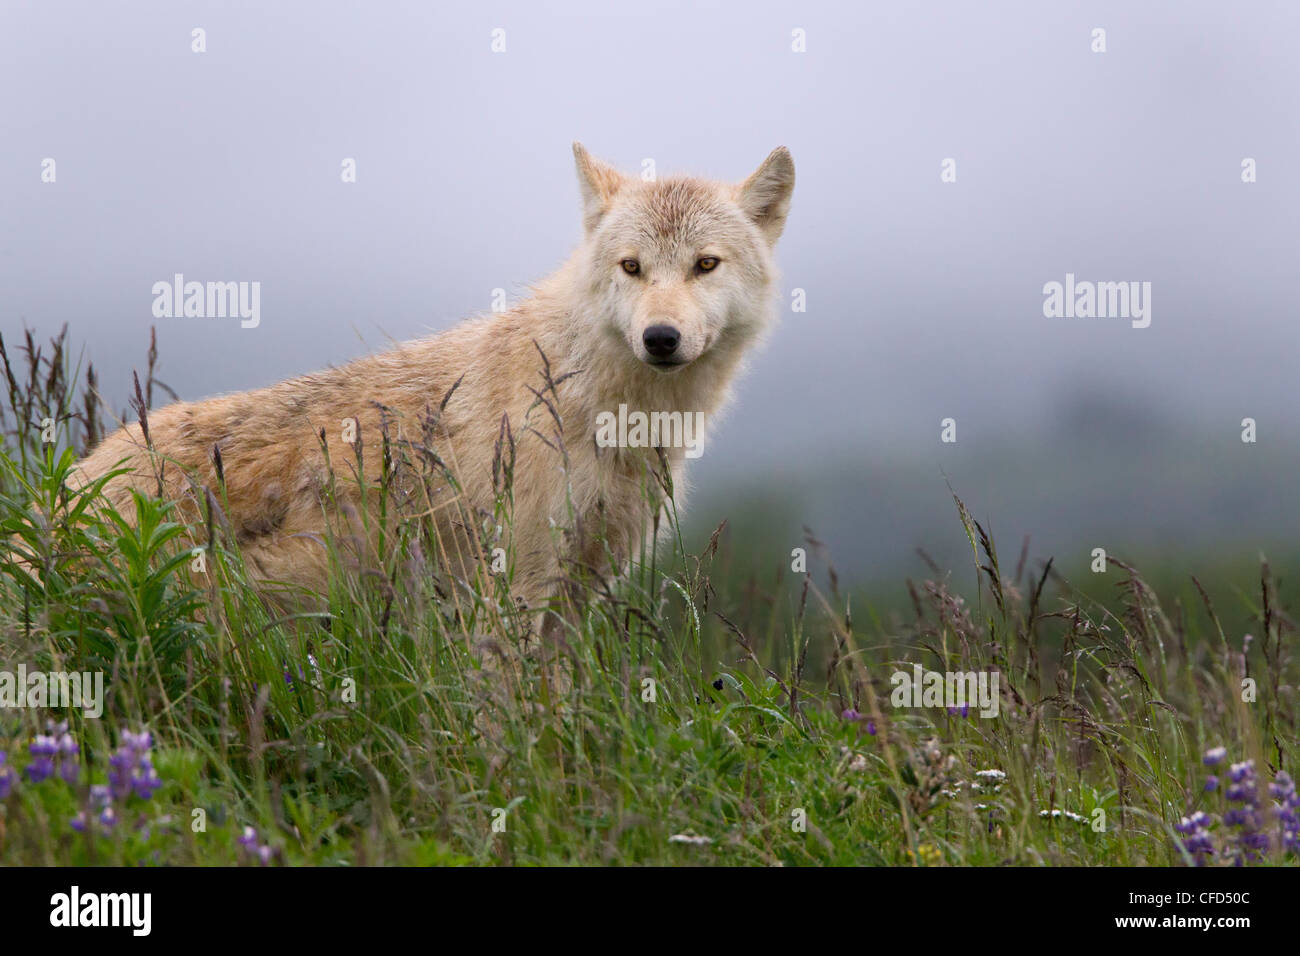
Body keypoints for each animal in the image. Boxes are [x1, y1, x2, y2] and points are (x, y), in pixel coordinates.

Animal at [74, 144, 795, 628]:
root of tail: (73, 481)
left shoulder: (574, 595)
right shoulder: (515, 592)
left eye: (705, 265)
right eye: (633, 267)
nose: (661, 338)